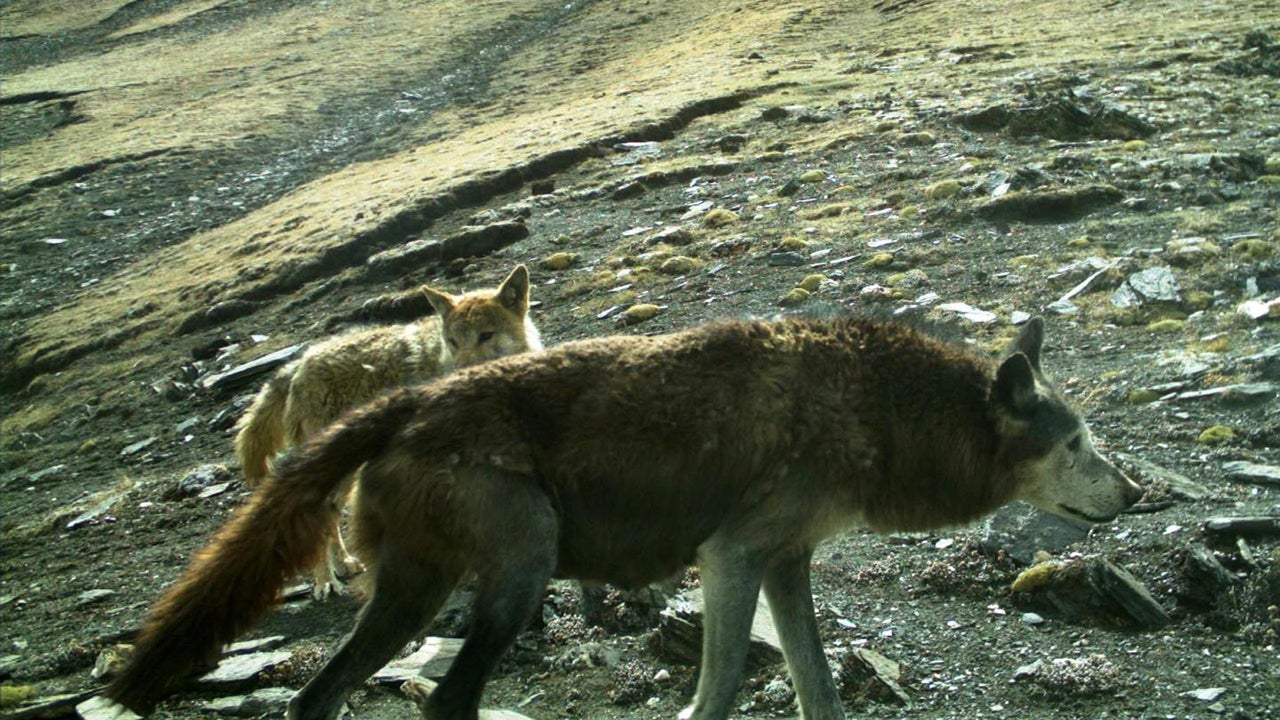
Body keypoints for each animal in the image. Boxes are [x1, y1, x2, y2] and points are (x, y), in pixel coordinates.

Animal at [107, 315, 1142, 720]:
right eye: (1078, 445)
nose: (1135, 495)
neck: (880, 407)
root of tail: (409, 401)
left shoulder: (785, 564)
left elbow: (819, 689)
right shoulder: (731, 557)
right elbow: (717, 693)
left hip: (412, 598)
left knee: (315, 698)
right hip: (517, 574)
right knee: (444, 699)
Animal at [233, 264, 541, 598]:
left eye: (486, 336)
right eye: (453, 341)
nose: (458, 374)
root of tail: (299, 363)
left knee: (330, 516)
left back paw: (344, 564)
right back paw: (326, 580)